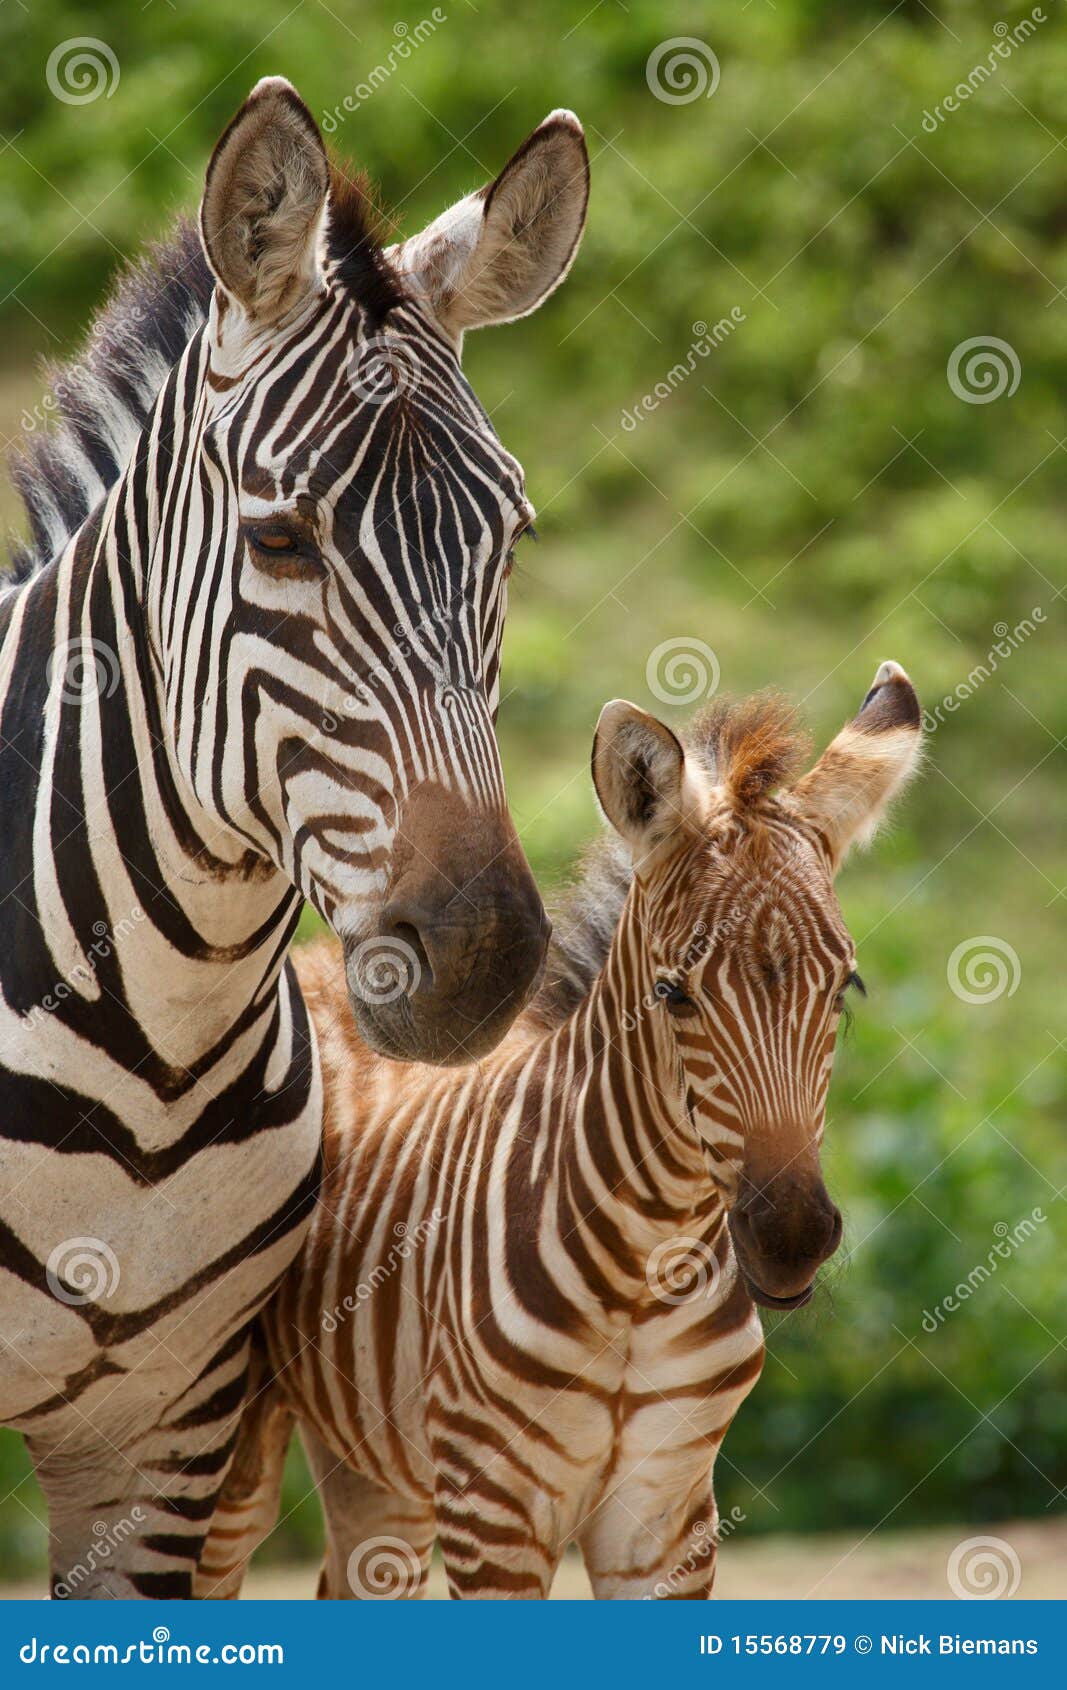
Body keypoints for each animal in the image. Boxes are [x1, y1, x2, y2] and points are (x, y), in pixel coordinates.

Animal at [195, 660, 922, 1600]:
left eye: (845, 990)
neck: (645, 1269)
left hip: (372, 1457)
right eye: (672, 993)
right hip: (232, 1442)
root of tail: (317, 961)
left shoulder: (667, 1516)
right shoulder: (493, 1511)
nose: (790, 1238)